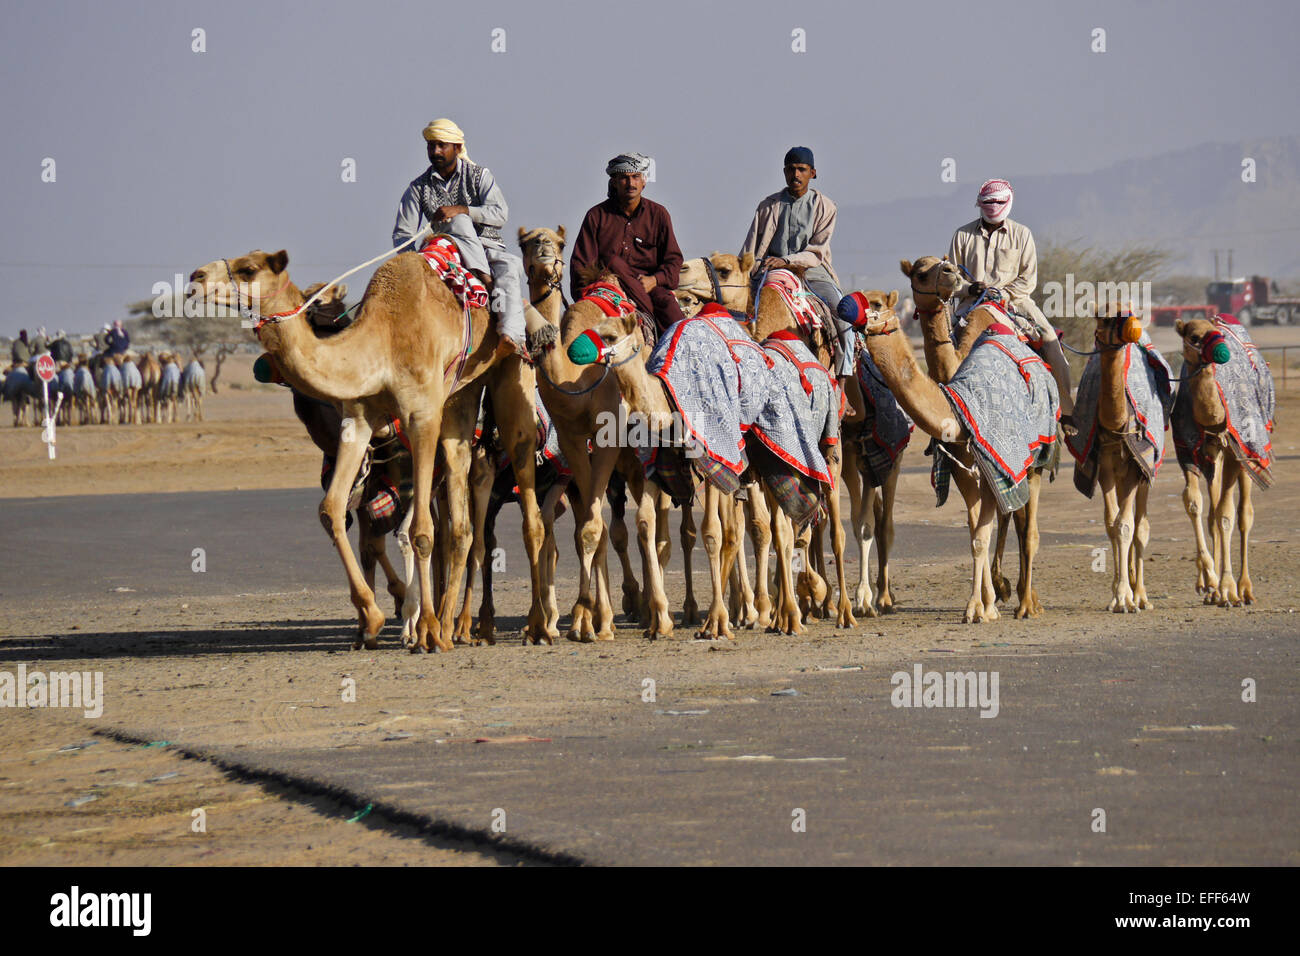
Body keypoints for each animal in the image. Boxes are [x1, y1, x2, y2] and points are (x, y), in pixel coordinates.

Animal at [189, 246, 550, 653]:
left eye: (249, 269)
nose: (196, 278)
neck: (382, 340)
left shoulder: (421, 416)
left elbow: (420, 531)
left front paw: (421, 629)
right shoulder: (358, 421)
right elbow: (332, 510)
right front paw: (371, 620)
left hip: (513, 376)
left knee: (529, 508)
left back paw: (535, 626)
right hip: (462, 400)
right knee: (462, 526)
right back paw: (450, 628)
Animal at [1172, 317, 1274, 607]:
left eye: (1214, 332)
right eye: (1194, 337)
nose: (1221, 352)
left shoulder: (1234, 453)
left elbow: (1227, 515)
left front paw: (1228, 590)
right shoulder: (1188, 451)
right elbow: (1195, 504)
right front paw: (1209, 582)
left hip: (1247, 457)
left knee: (1244, 513)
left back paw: (1245, 590)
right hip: (1212, 459)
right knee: (1212, 513)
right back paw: (1214, 592)